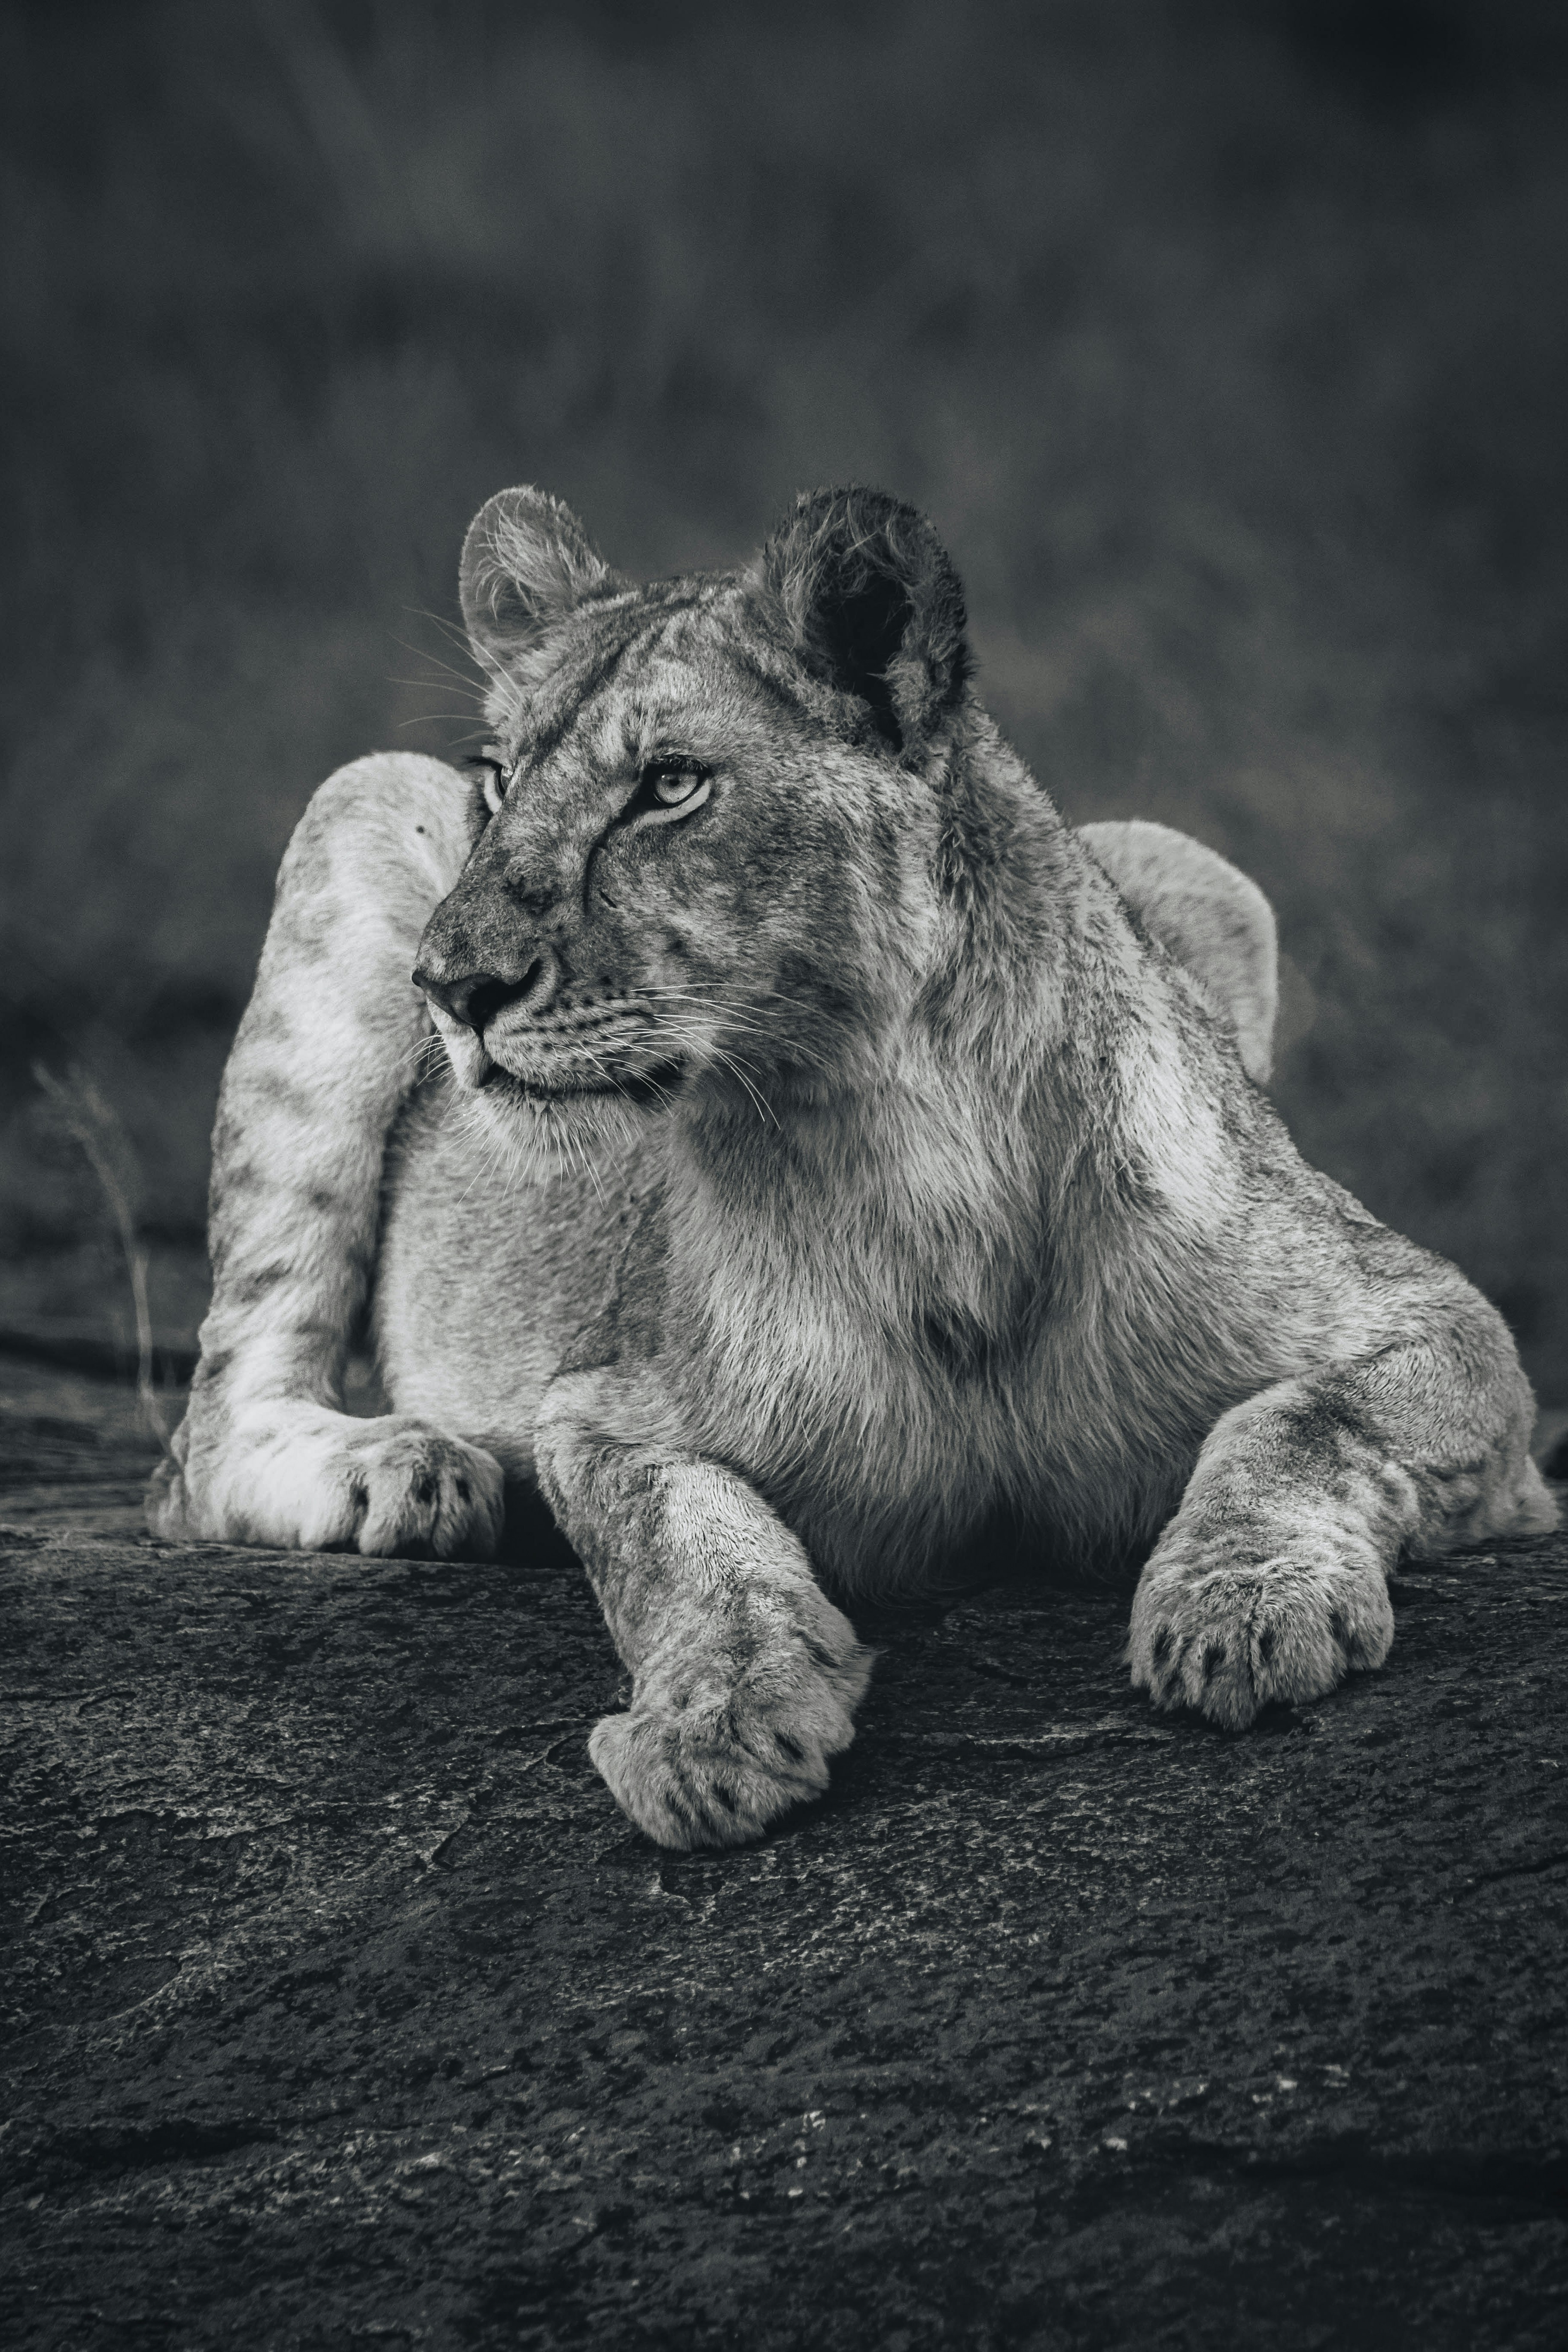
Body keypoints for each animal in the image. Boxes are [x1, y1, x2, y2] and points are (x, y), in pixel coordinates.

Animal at [149, 484, 1557, 1849]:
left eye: (670, 784)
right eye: (493, 783)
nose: (450, 987)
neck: (917, 1160)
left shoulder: (1439, 1321)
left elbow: (1299, 1419)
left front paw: (1240, 1609)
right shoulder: (609, 1406)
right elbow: (683, 1540)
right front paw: (718, 1722)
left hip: (1200, 873)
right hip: (355, 807)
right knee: (203, 1440)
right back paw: (413, 1471)